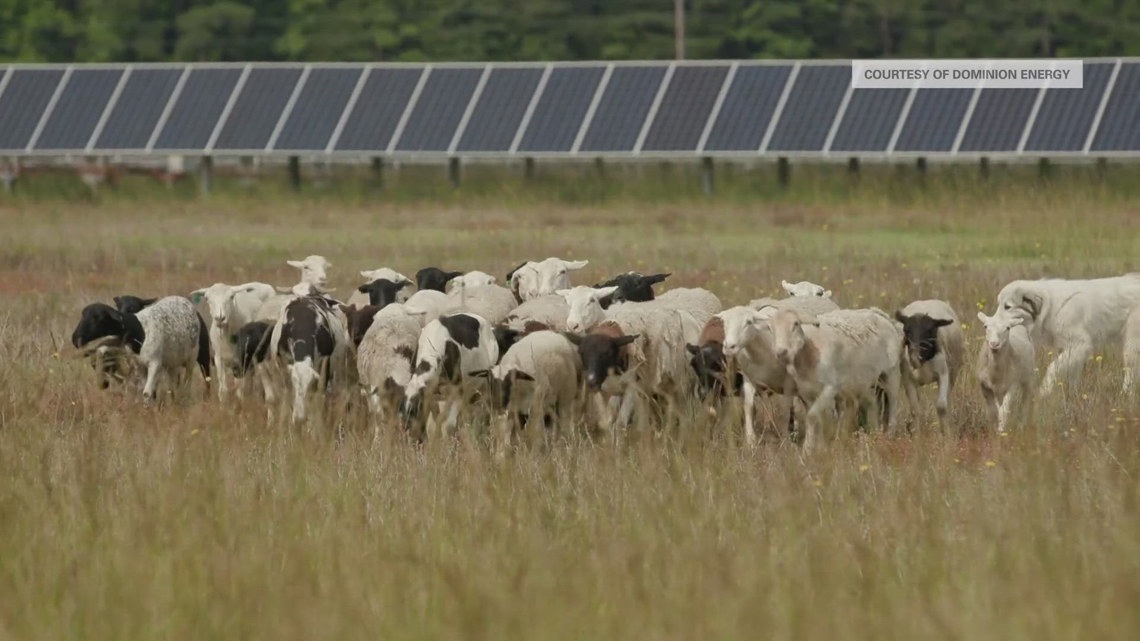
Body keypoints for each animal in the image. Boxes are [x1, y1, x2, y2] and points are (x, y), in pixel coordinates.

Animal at [71, 296, 206, 403]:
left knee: (187, 381)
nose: (75, 339)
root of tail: (184, 300)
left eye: (97, 317)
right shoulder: (139, 366)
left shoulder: (155, 364)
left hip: (192, 358)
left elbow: (147, 392)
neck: (138, 329)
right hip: (172, 363)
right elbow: (145, 391)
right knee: (173, 384)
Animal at [767, 307, 904, 453]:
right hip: (868, 383)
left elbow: (812, 416)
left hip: (891, 374)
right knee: (873, 406)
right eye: (771, 328)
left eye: (795, 324)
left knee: (893, 405)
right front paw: (819, 448)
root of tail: (881, 315)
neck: (809, 354)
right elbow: (816, 418)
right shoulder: (807, 392)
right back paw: (875, 435)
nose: (781, 352)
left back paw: (889, 436)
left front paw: (807, 449)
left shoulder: (830, 387)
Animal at [894, 300, 965, 428]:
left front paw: (945, 432)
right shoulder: (908, 379)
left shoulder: (943, 374)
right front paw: (918, 433)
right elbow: (915, 410)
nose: (914, 358)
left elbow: (941, 407)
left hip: (953, 373)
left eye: (929, 331)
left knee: (948, 400)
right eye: (906, 331)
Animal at [994, 274, 1140, 397]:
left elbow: (1052, 368)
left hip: (1131, 345)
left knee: (1131, 372)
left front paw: (1044, 390)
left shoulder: (1080, 345)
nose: (991, 322)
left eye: (1007, 307)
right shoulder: (1072, 352)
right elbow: (1072, 377)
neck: (1051, 307)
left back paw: (1125, 394)